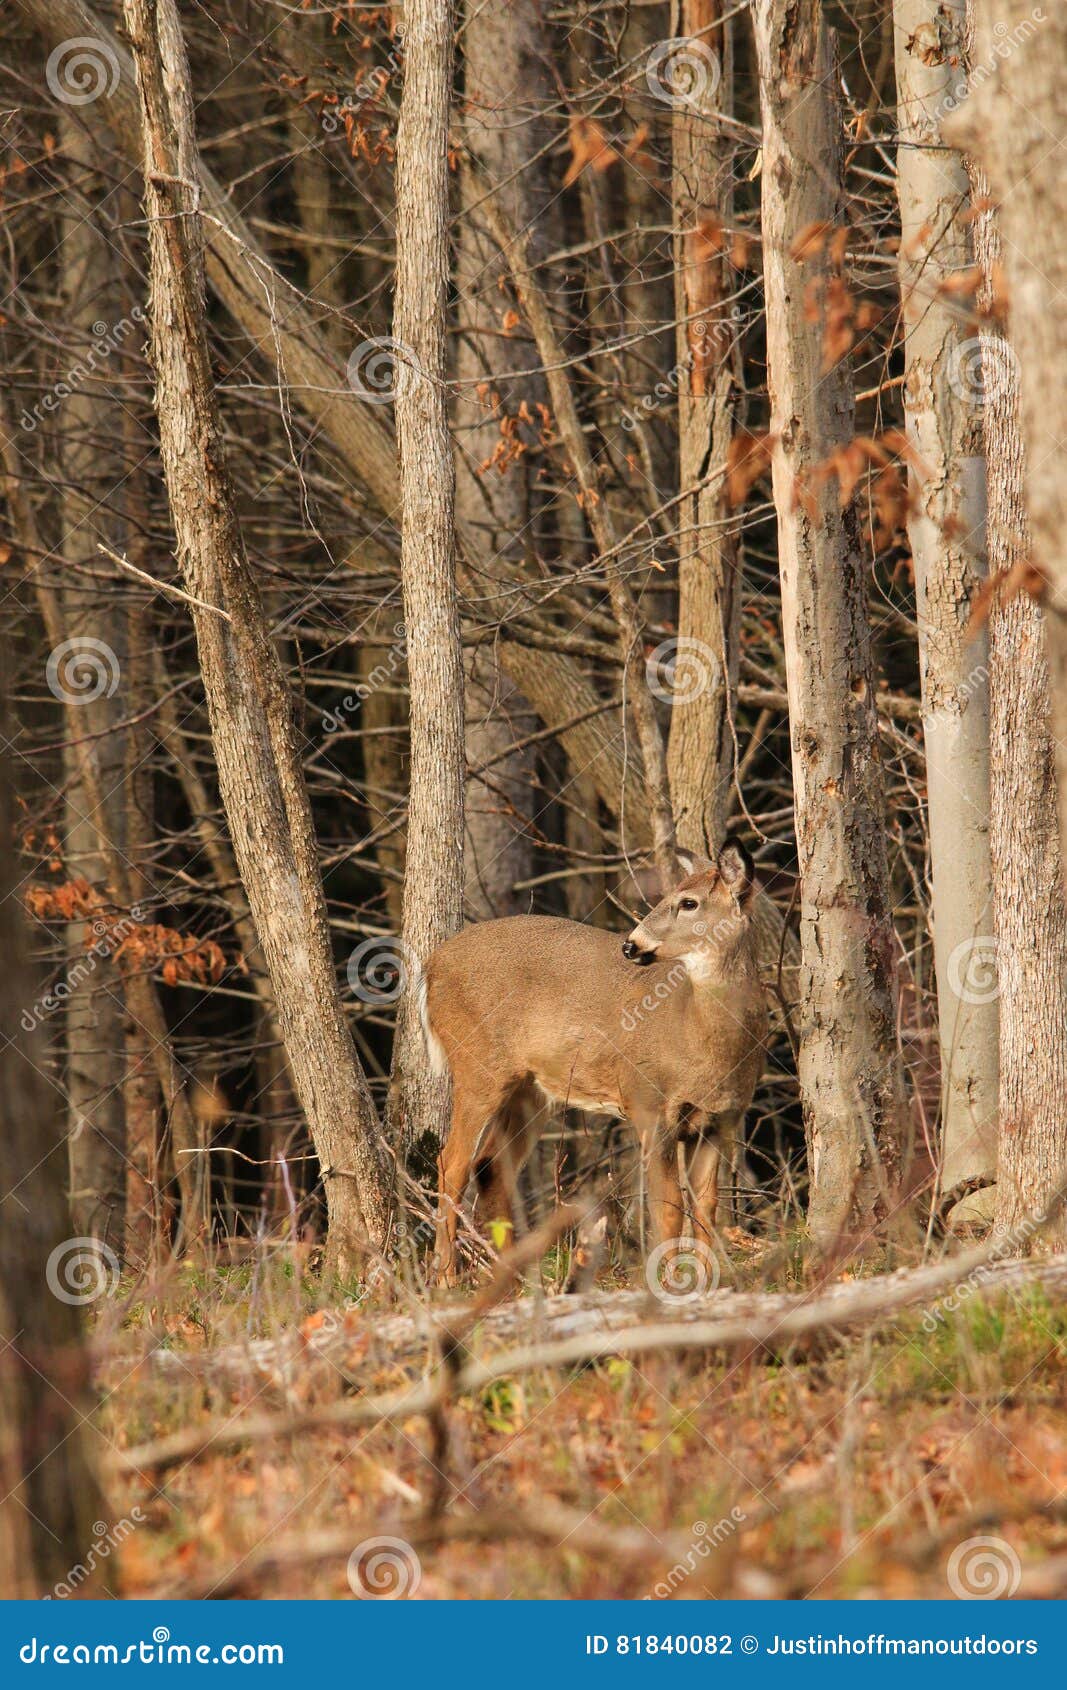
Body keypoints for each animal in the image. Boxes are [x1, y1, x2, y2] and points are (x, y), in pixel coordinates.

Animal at [420, 837, 768, 1286]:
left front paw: (704, 1280)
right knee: (452, 1163)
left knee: (490, 1166)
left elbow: (705, 1208)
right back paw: (447, 1277)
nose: (631, 945)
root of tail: (430, 966)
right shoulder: (648, 1103)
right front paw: (665, 1281)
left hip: (532, 1091)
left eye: (689, 902)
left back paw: (512, 1279)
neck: (701, 1041)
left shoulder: (718, 1120)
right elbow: (668, 1208)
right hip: (477, 1066)